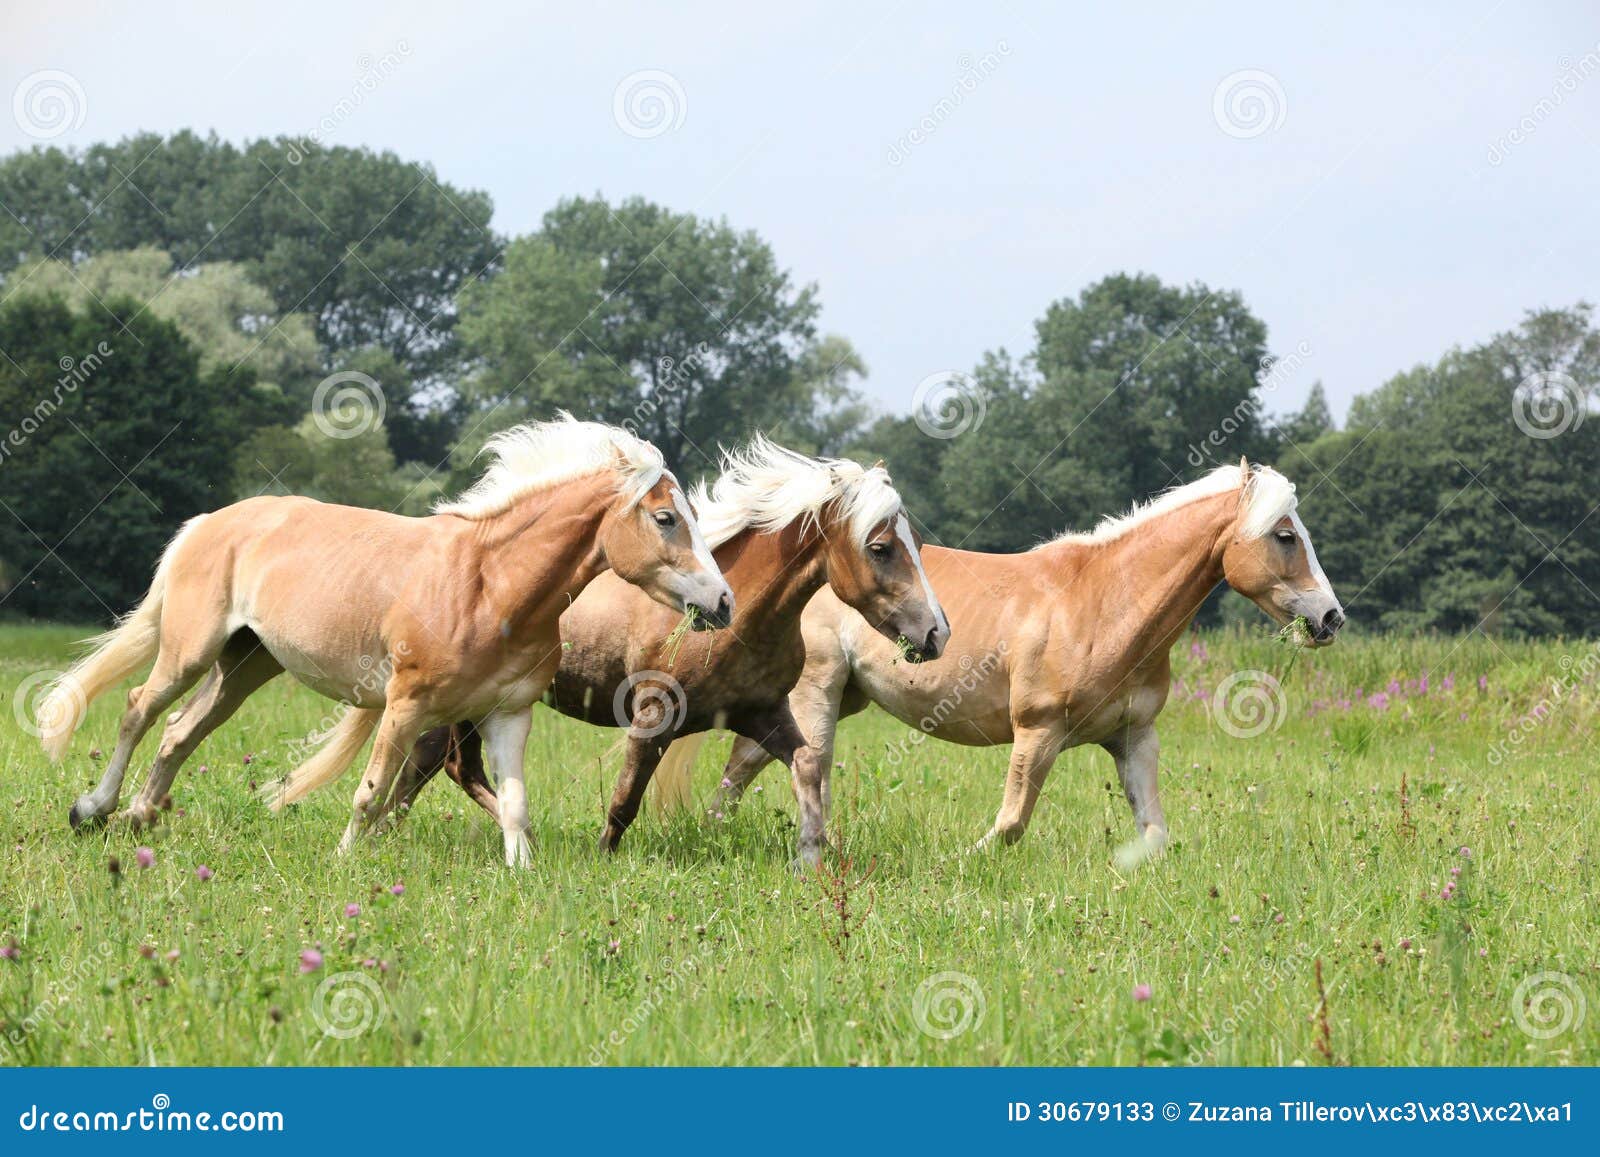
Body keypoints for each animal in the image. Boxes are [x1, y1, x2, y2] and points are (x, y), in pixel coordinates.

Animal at [36, 416, 734, 867]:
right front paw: (345, 864)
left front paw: (523, 875)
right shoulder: (405, 705)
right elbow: (371, 794)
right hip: (191, 651)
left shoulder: (508, 713)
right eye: (666, 518)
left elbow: (514, 804)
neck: (488, 586)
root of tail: (211, 521)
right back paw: (92, 810)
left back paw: (140, 818)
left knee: (182, 731)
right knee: (139, 710)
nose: (723, 602)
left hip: (247, 665)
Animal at [327, 437, 950, 867]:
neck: (738, 617)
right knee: (448, 764)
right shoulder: (654, 717)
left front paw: (811, 857)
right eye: (881, 548)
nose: (937, 634)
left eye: (916, 544)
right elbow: (625, 799)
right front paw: (600, 858)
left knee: (430, 765)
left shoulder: (763, 712)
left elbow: (806, 766)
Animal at [706, 460, 1344, 868]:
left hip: (842, 699)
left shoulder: (1135, 737)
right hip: (818, 692)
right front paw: (960, 862)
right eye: (1285, 536)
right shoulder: (1037, 732)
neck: (1105, 604)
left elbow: (1154, 833)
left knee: (744, 766)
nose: (1331, 617)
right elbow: (1011, 823)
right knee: (804, 770)